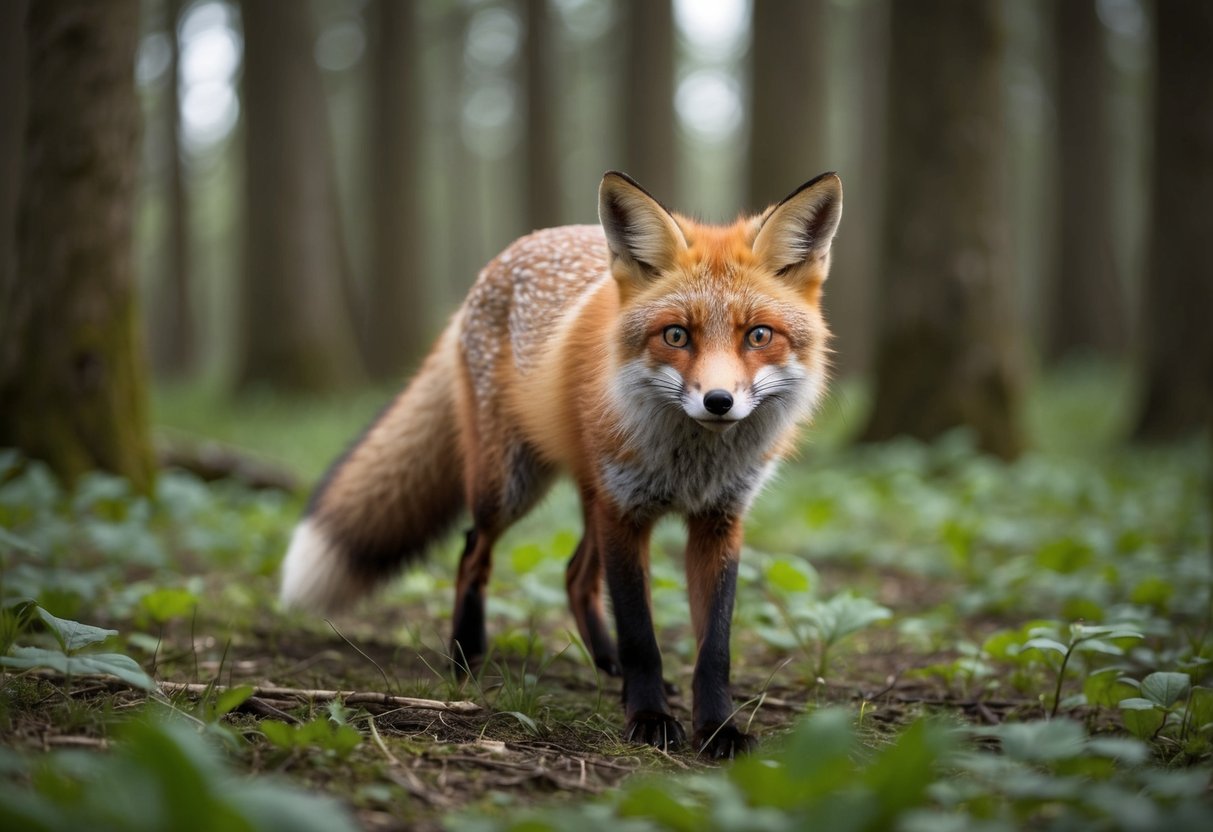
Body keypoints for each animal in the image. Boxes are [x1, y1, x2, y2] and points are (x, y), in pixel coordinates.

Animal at [280, 170, 843, 758]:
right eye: (676, 335)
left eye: (758, 335)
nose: (718, 402)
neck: (691, 466)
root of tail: (501, 258)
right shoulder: (625, 513)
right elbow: (640, 633)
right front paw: (648, 718)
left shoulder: (719, 520)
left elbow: (715, 647)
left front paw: (717, 728)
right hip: (510, 486)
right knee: (472, 551)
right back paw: (465, 658)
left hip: (591, 494)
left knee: (575, 575)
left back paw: (606, 665)